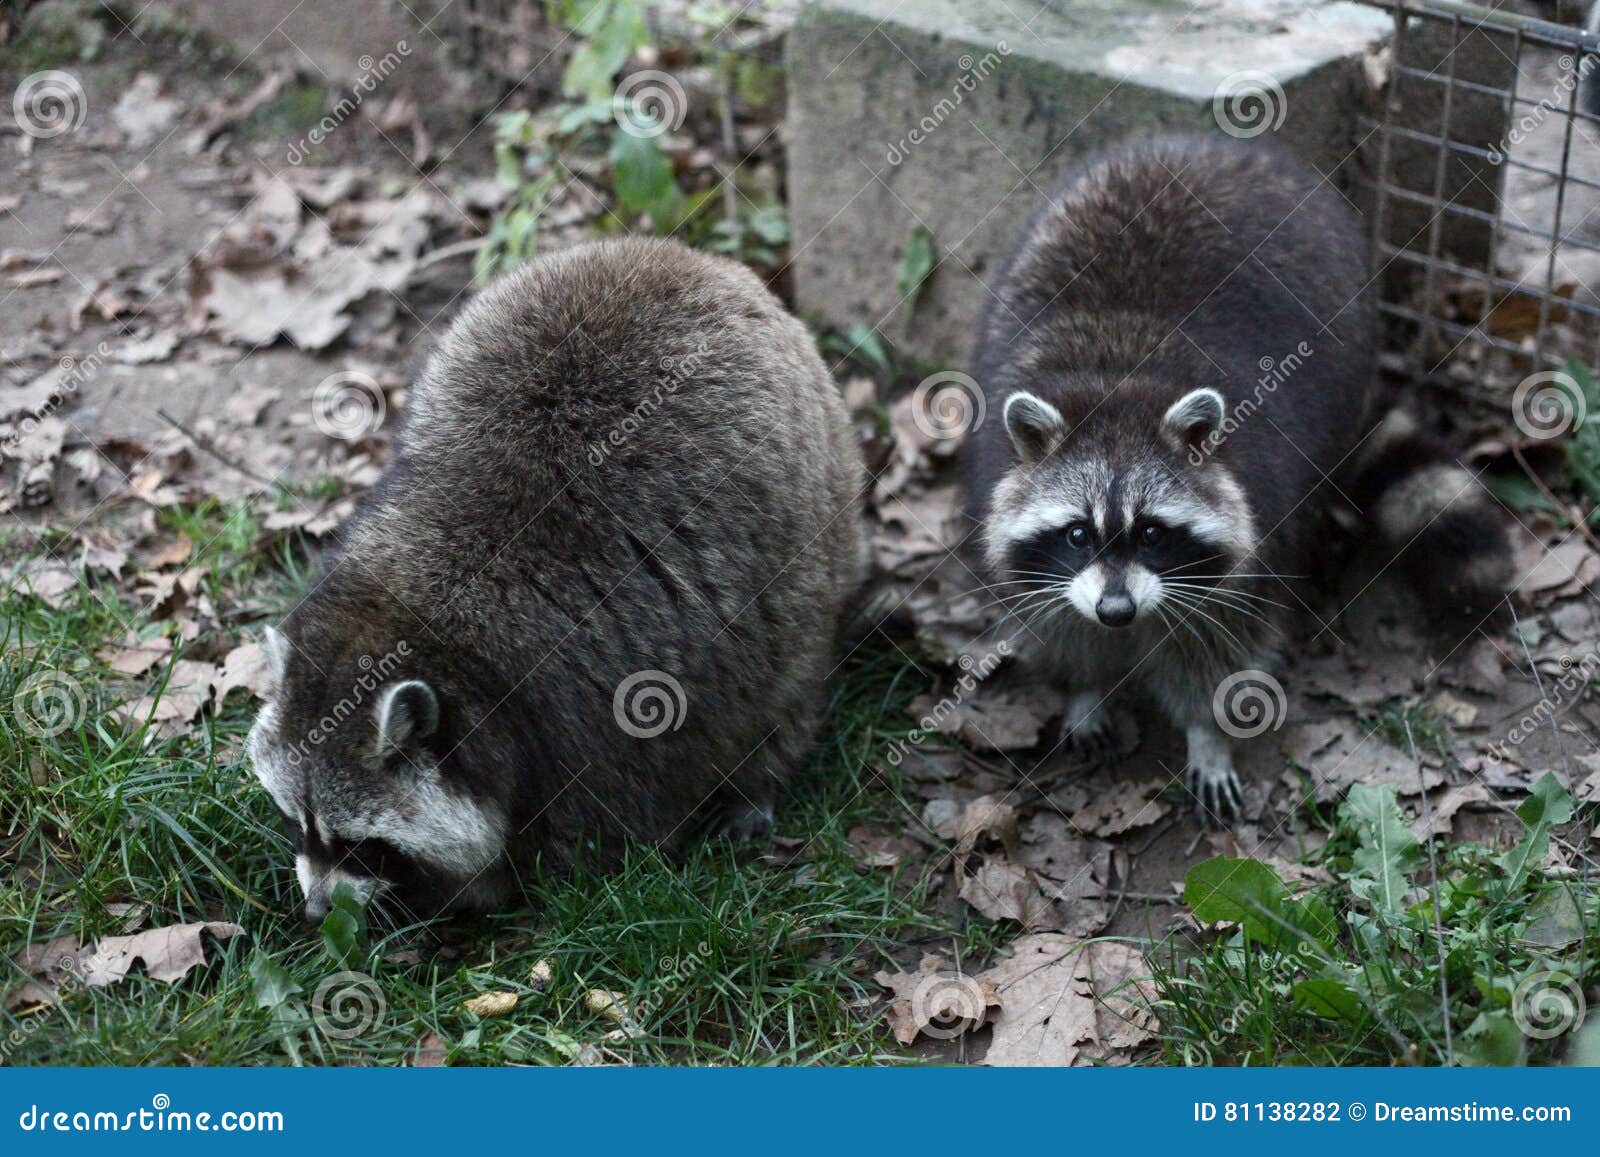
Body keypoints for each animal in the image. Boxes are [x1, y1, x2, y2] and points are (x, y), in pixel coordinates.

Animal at [248, 237, 863, 921]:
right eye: (297, 823)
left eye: (360, 844)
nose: (314, 913)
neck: (414, 613)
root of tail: (692, 257)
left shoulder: (604, 706)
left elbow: (600, 838)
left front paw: (480, 888)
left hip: (813, 532)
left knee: (785, 673)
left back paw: (760, 776)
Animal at [965, 136, 1511, 820]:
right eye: (1077, 534)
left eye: (1151, 533)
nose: (1116, 611)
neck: (1120, 380)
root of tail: (1215, 143)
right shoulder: (1003, 490)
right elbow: (1054, 619)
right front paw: (1085, 688)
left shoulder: (1263, 508)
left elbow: (1224, 644)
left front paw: (1207, 734)